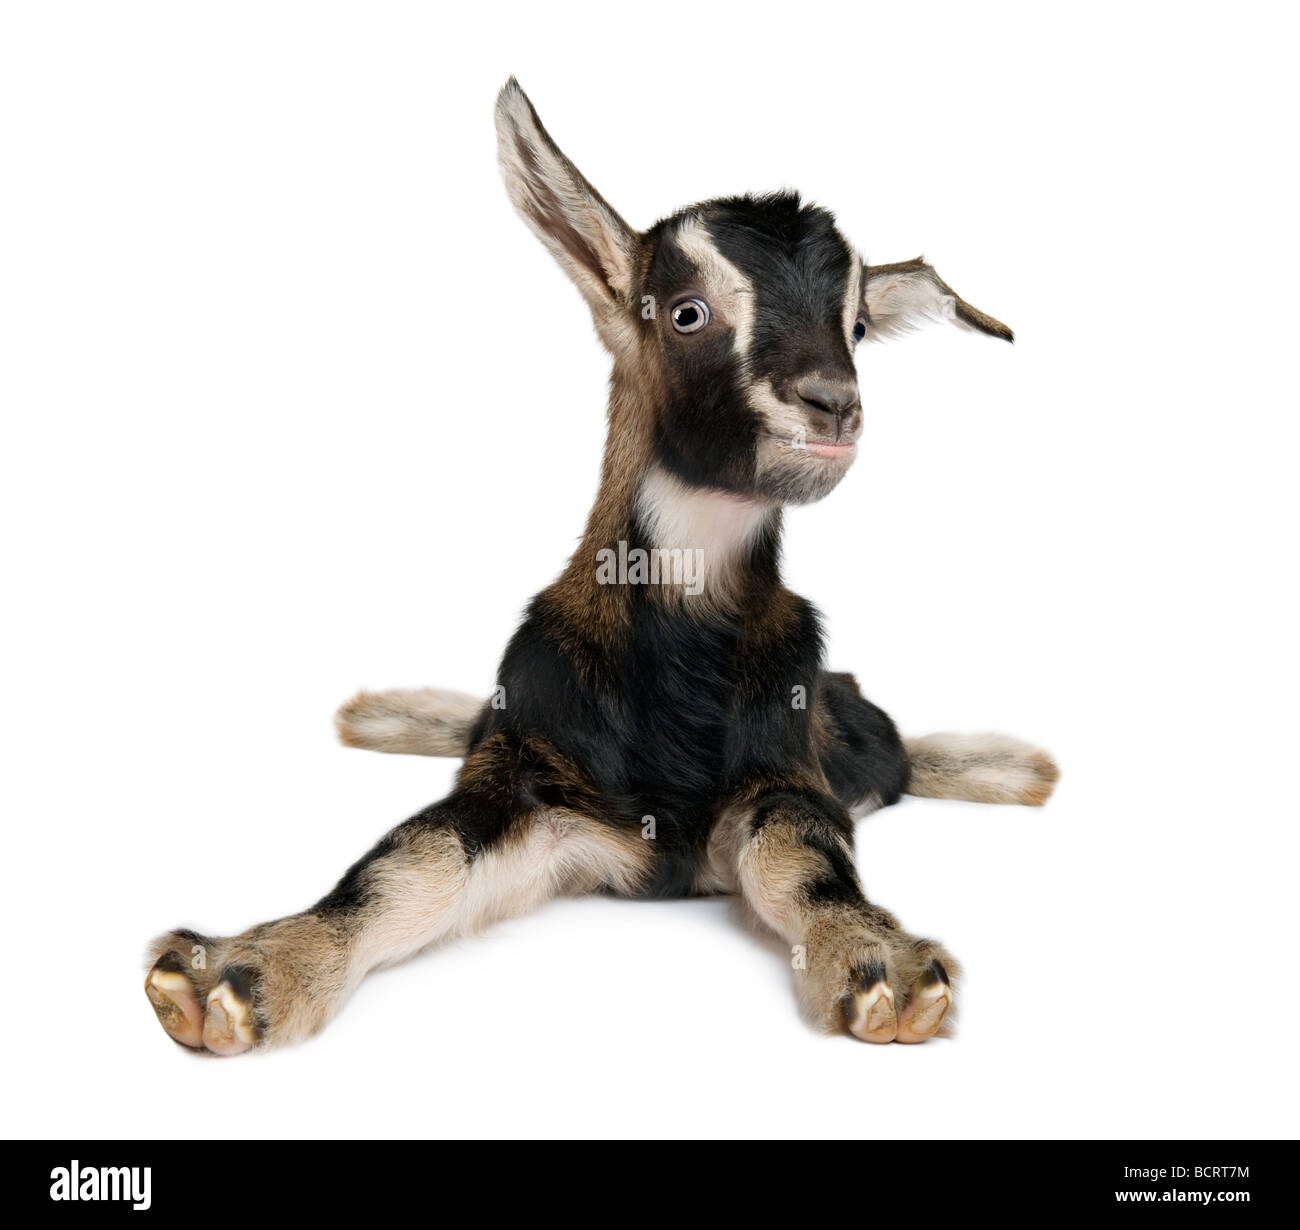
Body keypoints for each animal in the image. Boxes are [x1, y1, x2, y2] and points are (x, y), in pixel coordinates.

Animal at [145, 79, 1057, 1055]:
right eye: (687, 311)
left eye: (855, 324)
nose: (834, 406)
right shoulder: (531, 782)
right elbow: (405, 864)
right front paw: (242, 972)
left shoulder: (784, 774)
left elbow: (805, 857)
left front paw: (876, 963)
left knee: (899, 754)